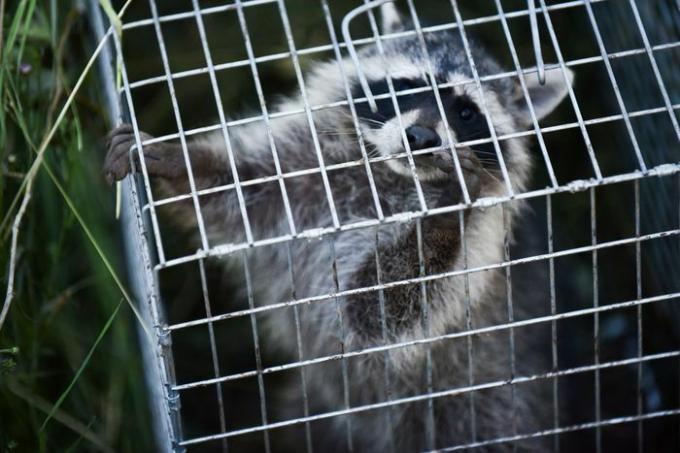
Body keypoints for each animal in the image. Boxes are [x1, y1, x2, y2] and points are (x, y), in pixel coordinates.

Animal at [105, 4, 572, 452]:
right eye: (407, 86)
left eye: (465, 111)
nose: (421, 137)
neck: (391, 174)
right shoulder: (300, 167)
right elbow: (236, 190)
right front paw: (178, 160)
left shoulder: (481, 242)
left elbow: (381, 312)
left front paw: (446, 212)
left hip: (484, 409)